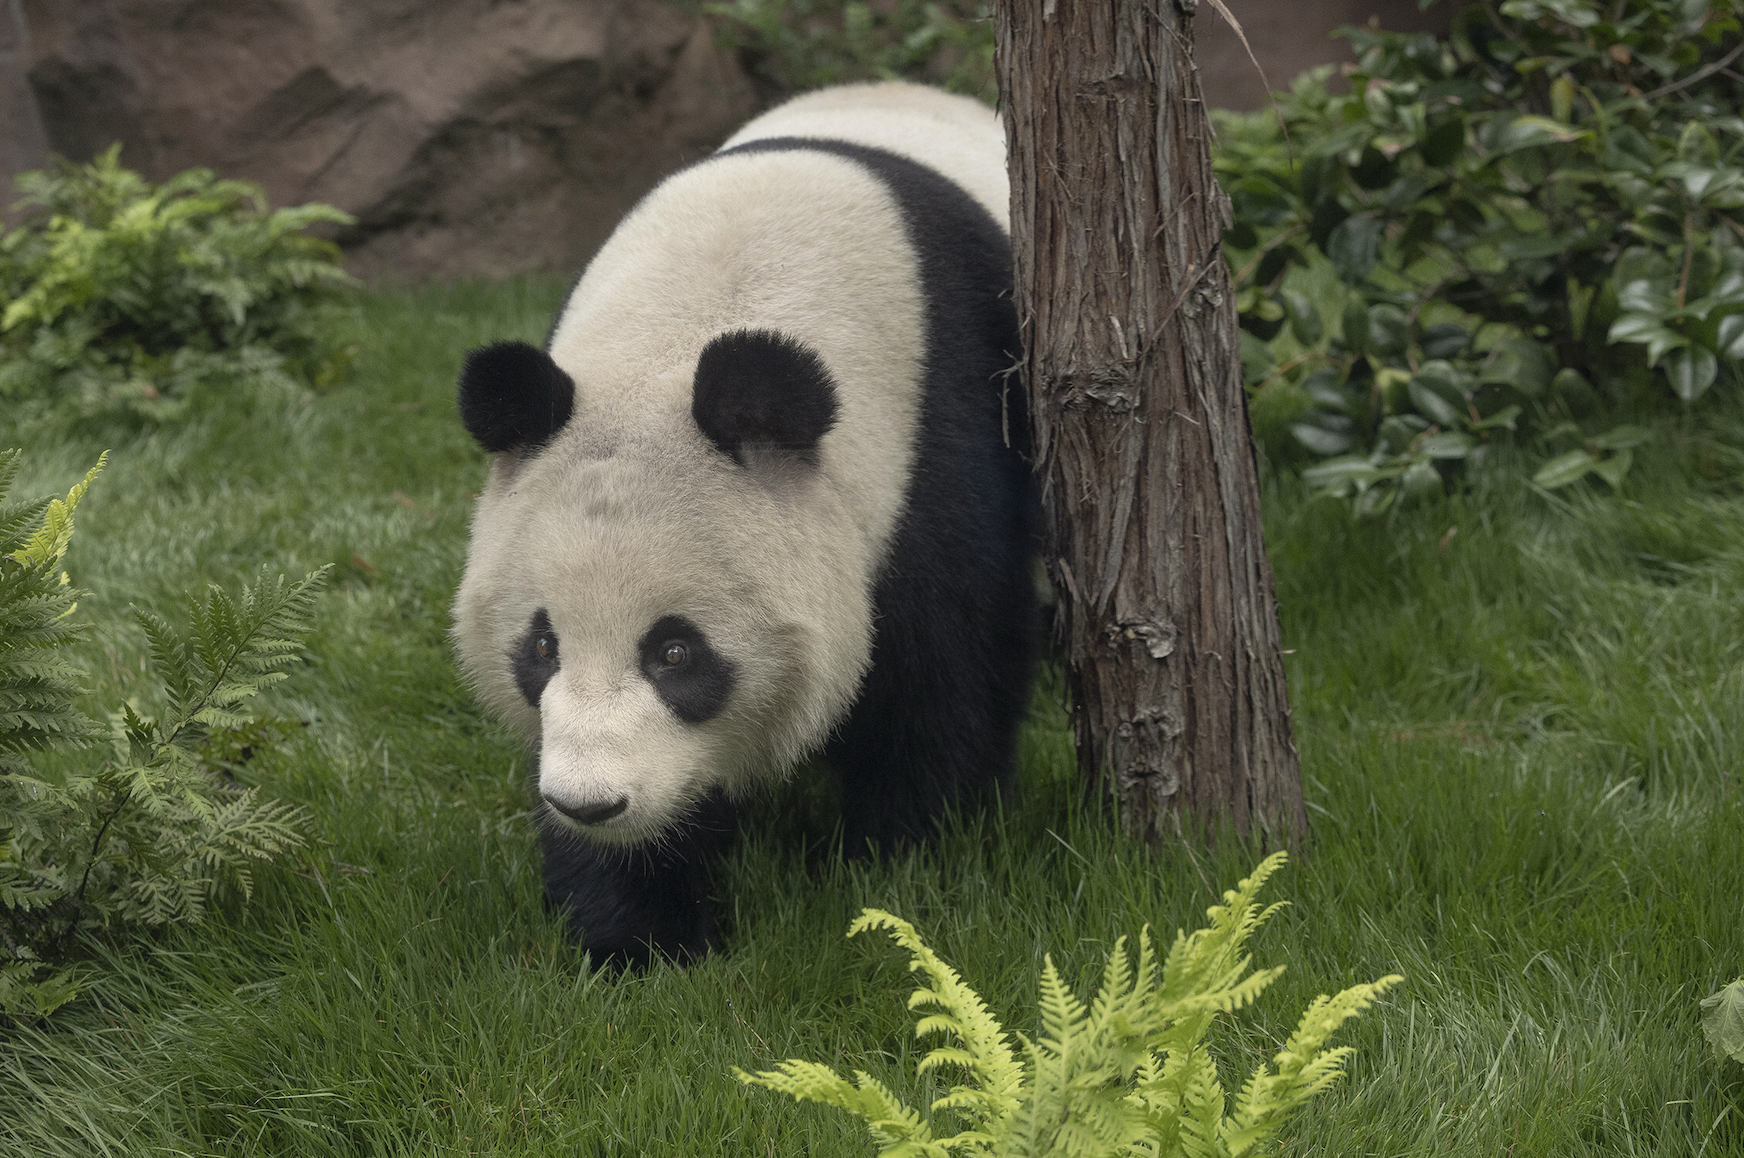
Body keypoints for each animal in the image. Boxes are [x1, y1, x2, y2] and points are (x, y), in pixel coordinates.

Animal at [452, 82, 1037, 969]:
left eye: (675, 652)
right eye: (542, 645)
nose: (591, 802)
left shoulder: (942, 439)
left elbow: (946, 676)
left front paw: (897, 861)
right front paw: (638, 930)